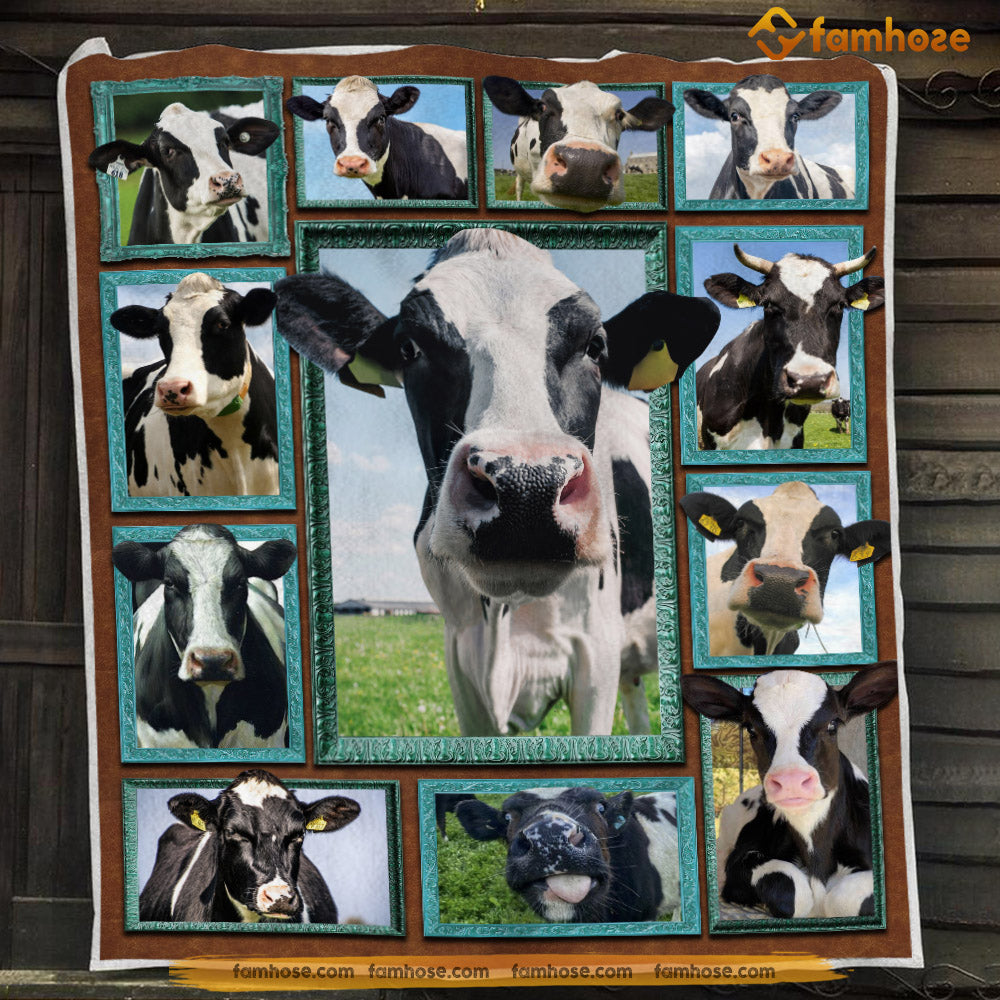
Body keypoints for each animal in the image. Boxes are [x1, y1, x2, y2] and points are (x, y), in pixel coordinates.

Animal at [681, 662, 898, 918]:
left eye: (832, 724)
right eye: (751, 729)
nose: (791, 780)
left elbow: (841, 898)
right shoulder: (738, 864)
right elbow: (792, 890)